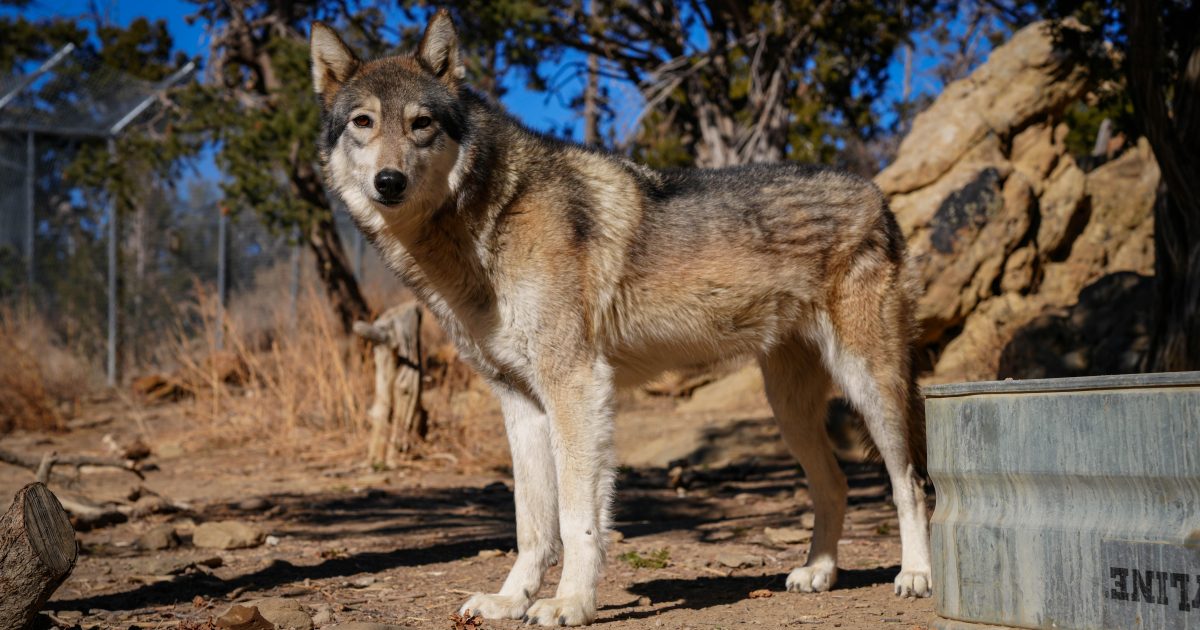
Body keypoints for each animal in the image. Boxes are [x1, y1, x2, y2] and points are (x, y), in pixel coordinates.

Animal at [311, 10, 932, 626]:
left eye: (420, 124)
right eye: (364, 122)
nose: (388, 182)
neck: (485, 222)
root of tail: (878, 194)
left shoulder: (577, 386)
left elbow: (577, 519)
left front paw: (570, 603)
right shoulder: (520, 402)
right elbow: (531, 524)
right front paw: (511, 600)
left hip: (871, 389)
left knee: (910, 483)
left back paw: (917, 575)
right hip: (789, 408)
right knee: (836, 484)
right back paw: (818, 572)